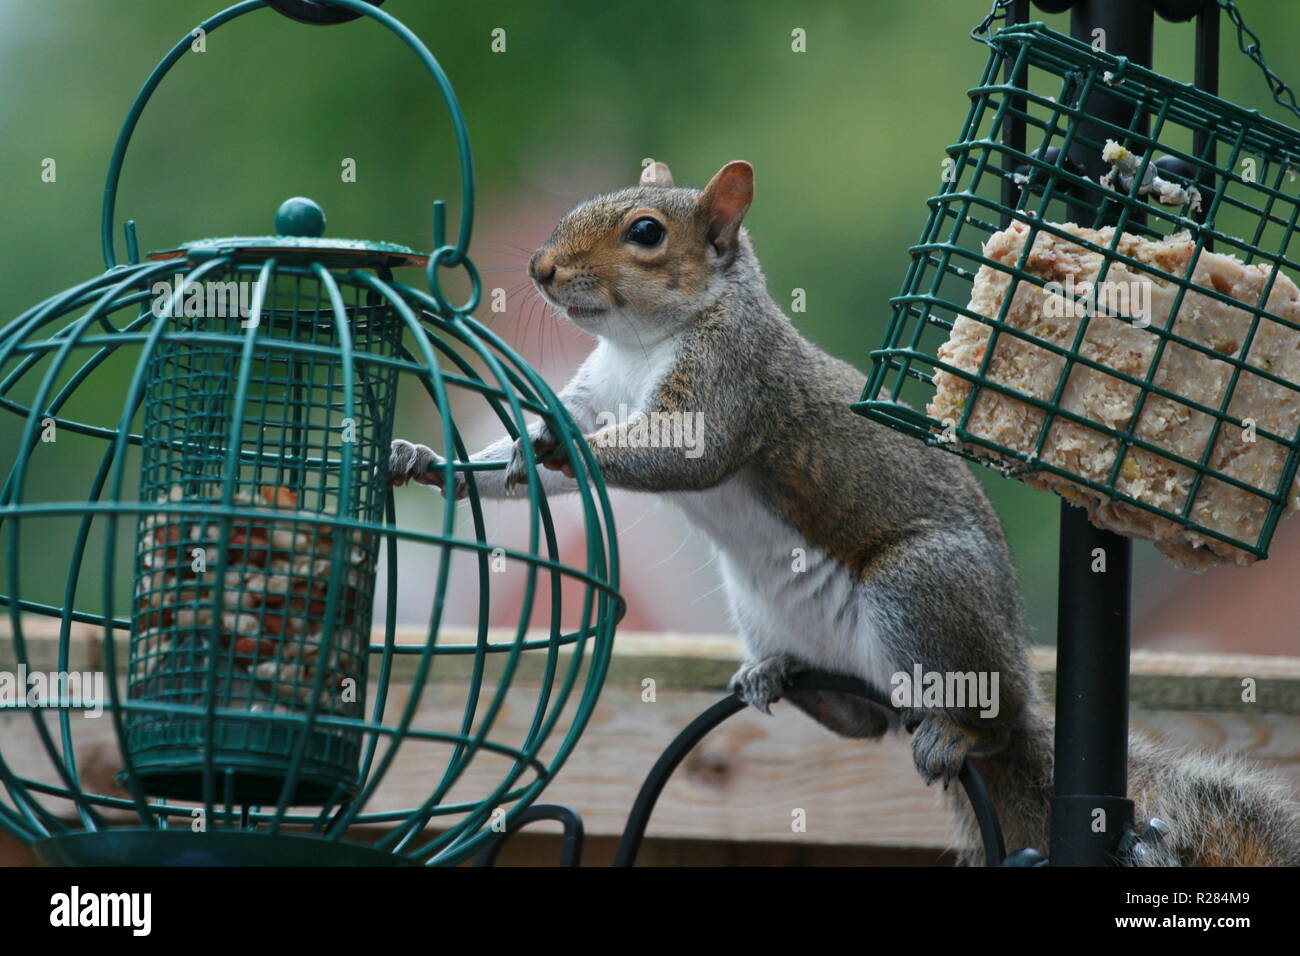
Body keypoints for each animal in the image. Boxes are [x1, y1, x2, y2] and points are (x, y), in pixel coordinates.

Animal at [390, 160, 1300, 866]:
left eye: (645, 232)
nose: (542, 270)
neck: (642, 343)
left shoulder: (731, 381)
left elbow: (685, 456)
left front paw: (546, 447)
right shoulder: (595, 390)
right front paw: (431, 462)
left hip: (918, 590)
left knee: (986, 720)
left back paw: (960, 734)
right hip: (767, 611)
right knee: (864, 721)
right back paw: (779, 677)